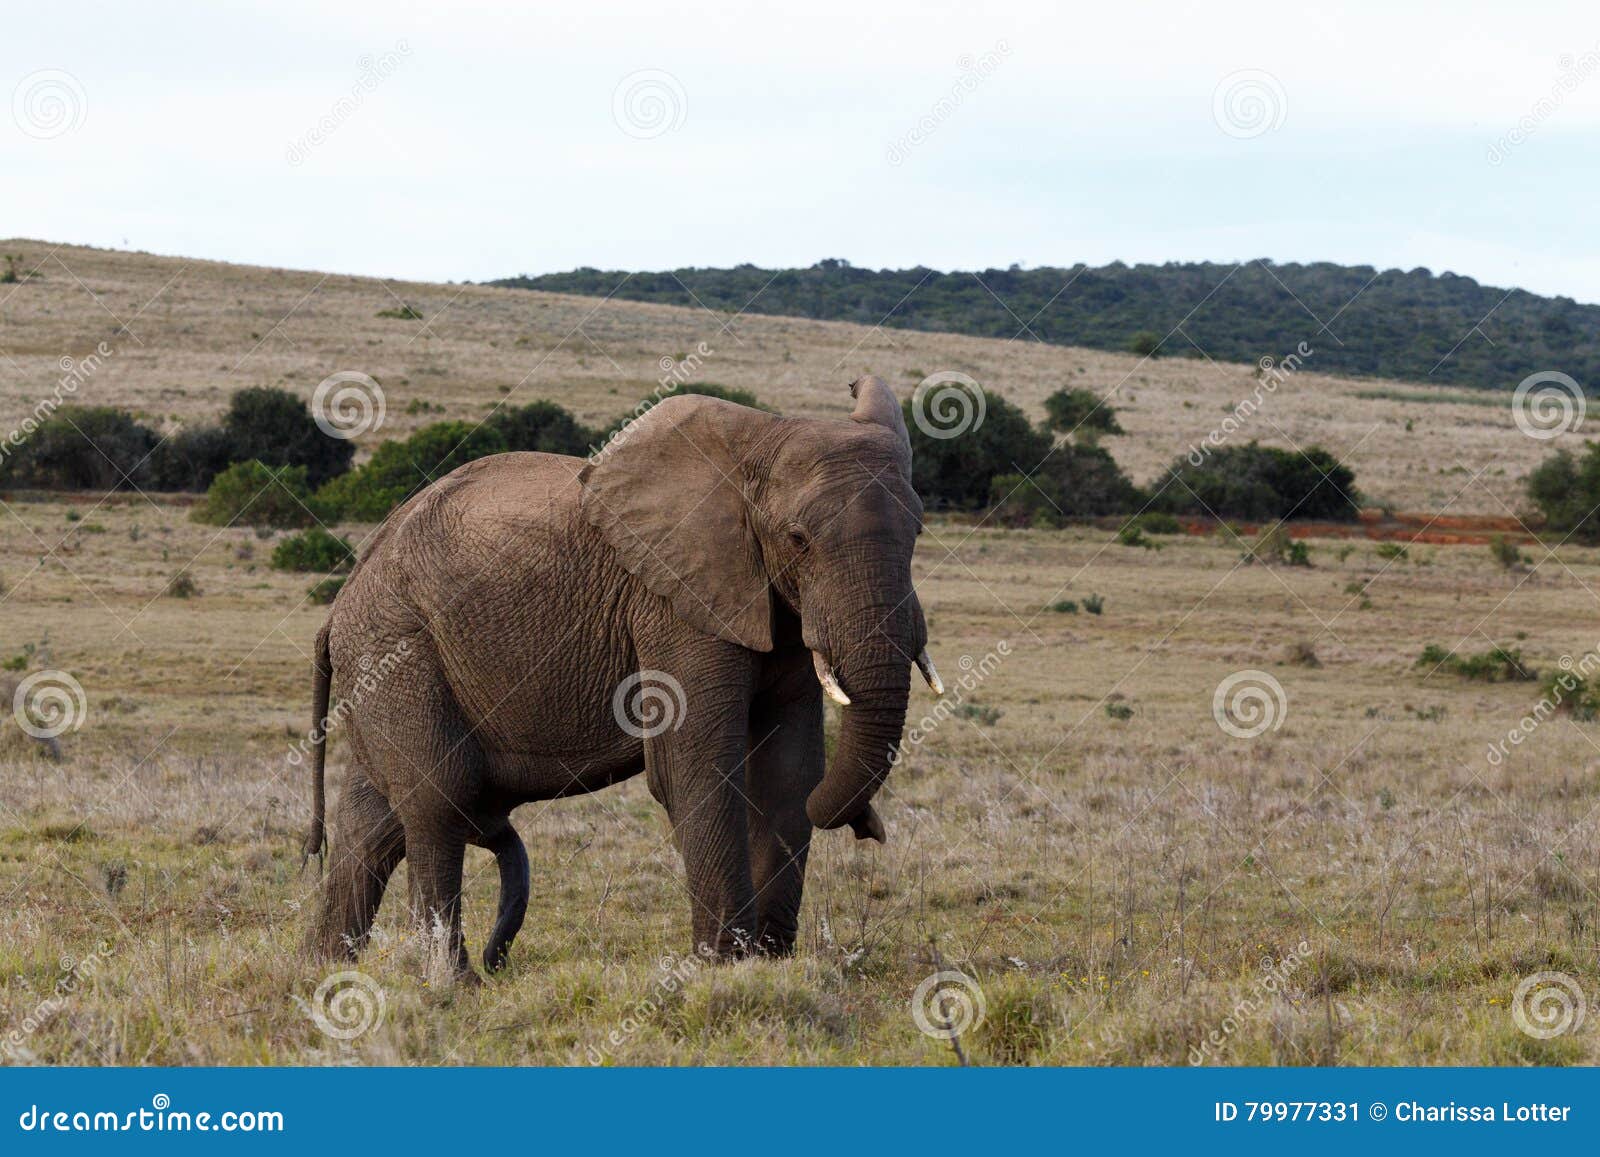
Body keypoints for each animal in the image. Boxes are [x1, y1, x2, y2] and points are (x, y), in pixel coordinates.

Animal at [301, 375, 942, 979]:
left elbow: (788, 772)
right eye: (798, 539)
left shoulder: (772, 602)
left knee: (375, 822)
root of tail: (338, 605)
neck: (758, 443)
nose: (869, 827)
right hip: (397, 647)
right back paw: (453, 985)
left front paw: (771, 966)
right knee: (437, 800)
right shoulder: (671, 602)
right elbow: (696, 766)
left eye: (918, 534)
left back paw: (328, 970)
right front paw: (722, 967)